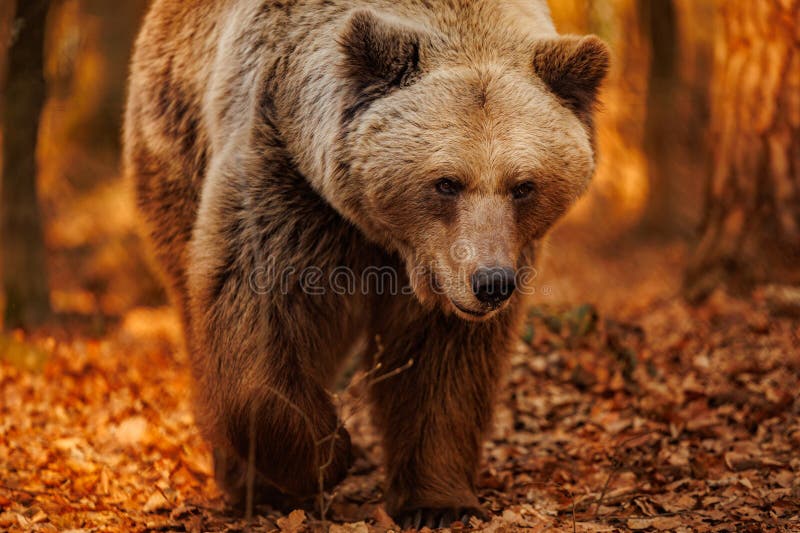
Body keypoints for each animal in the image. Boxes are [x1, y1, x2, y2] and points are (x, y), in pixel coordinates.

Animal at [123, 0, 609, 527]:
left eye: (523, 185)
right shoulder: (284, 173)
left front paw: (436, 502)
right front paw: (329, 454)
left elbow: (442, 363)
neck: (386, 236)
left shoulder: (454, 266)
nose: (492, 282)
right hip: (173, 140)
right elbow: (256, 317)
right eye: (446, 182)